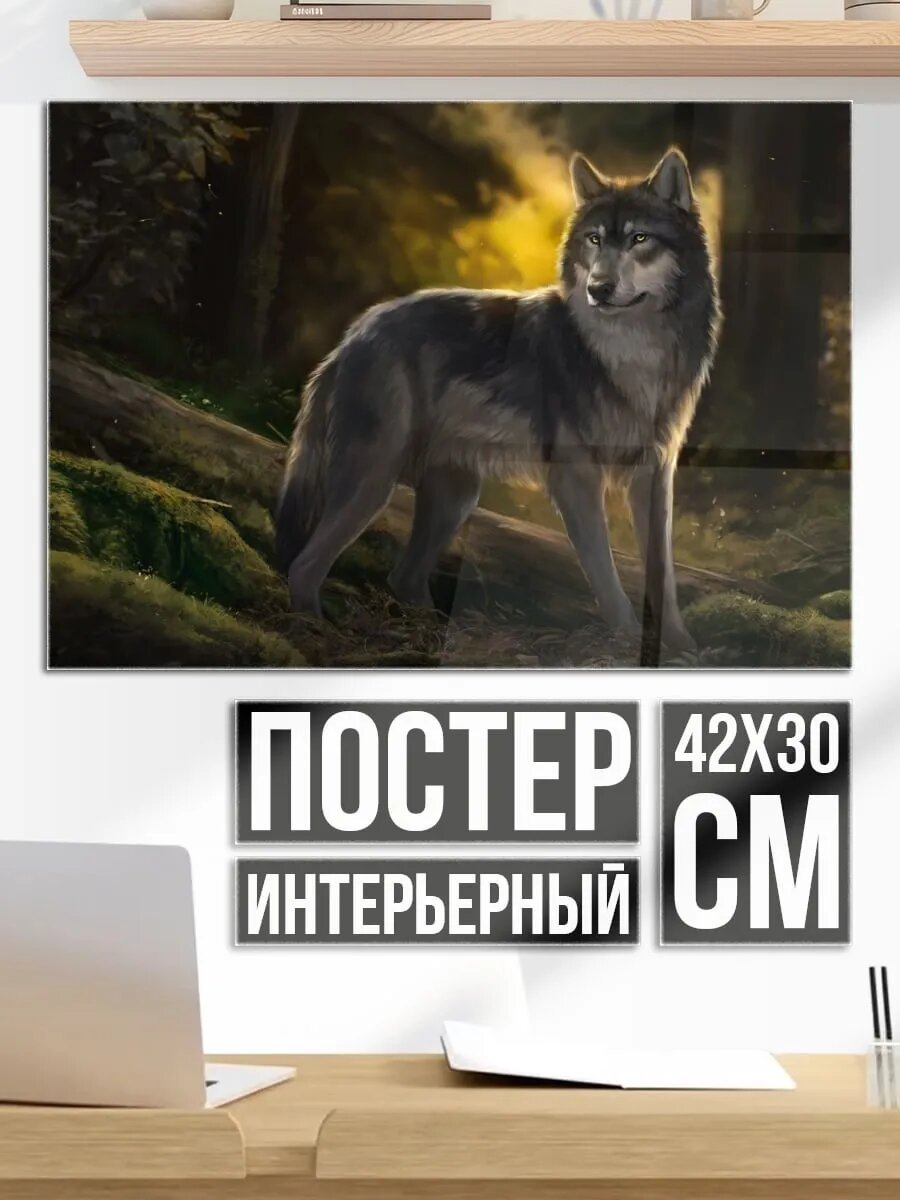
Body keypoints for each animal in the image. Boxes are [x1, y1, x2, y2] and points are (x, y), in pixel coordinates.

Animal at [276, 147, 720, 652]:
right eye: (594, 240)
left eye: (638, 238)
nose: (598, 289)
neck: (630, 357)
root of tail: (348, 339)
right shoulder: (575, 478)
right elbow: (604, 573)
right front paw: (626, 639)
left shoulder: (654, 476)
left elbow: (662, 572)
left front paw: (682, 646)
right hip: (373, 483)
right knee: (305, 565)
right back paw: (313, 630)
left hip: (454, 498)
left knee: (403, 577)